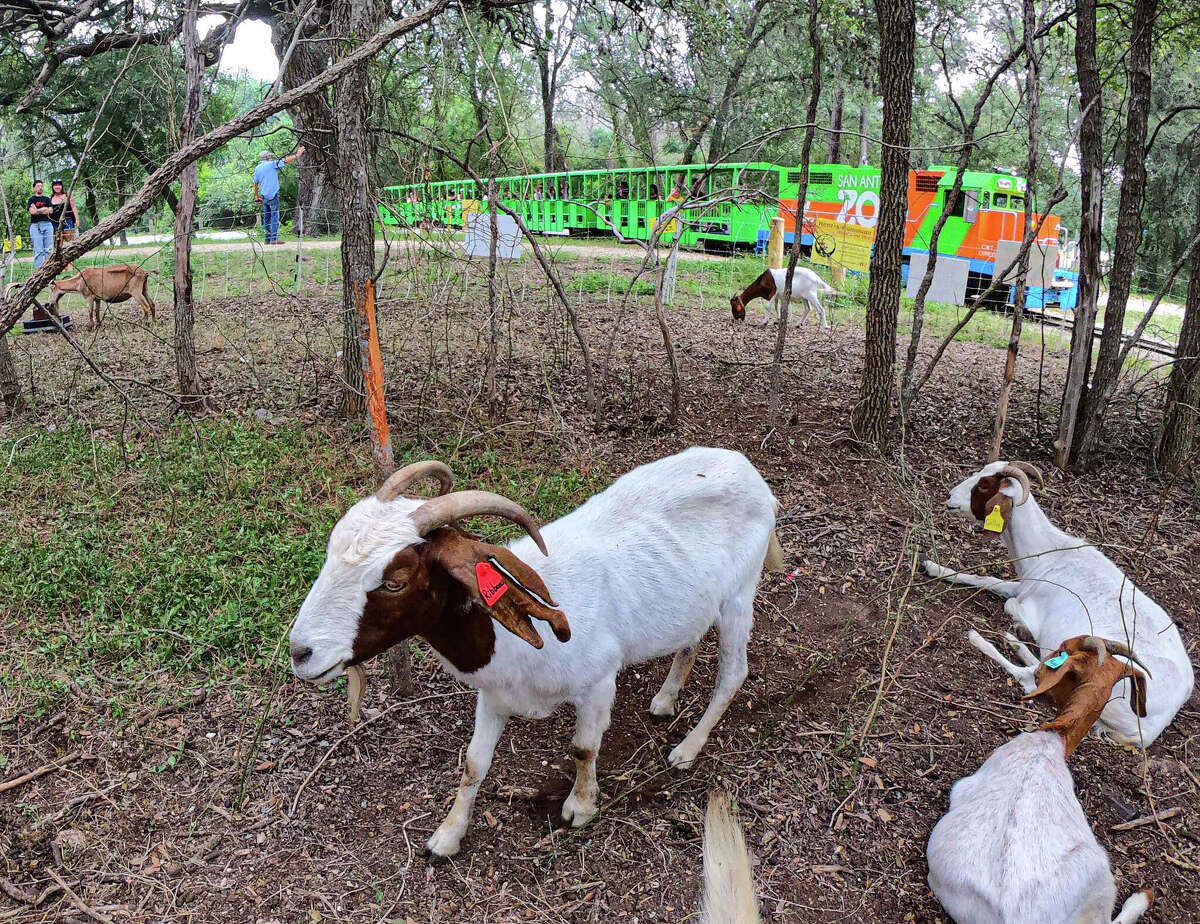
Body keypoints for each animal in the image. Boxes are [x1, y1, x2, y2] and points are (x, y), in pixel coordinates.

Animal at [289, 448, 784, 858]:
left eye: (395, 582)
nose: (300, 652)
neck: (508, 635)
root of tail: (745, 468)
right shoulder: (493, 695)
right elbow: (474, 763)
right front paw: (447, 836)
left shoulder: (598, 682)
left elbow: (583, 748)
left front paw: (580, 807)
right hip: (696, 598)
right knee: (690, 637)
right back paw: (665, 699)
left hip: (739, 595)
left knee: (733, 674)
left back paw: (687, 748)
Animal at [924, 460, 1193, 747]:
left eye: (984, 485)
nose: (949, 497)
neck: (1050, 553)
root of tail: (1152, 726)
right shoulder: (1023, 585)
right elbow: (987, 580)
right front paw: (933, 567)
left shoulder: (1029, 604)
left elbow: (1011, 606)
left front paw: (1021, 629)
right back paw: (1013, 642)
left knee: (1028, 676)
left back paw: (988, 638)